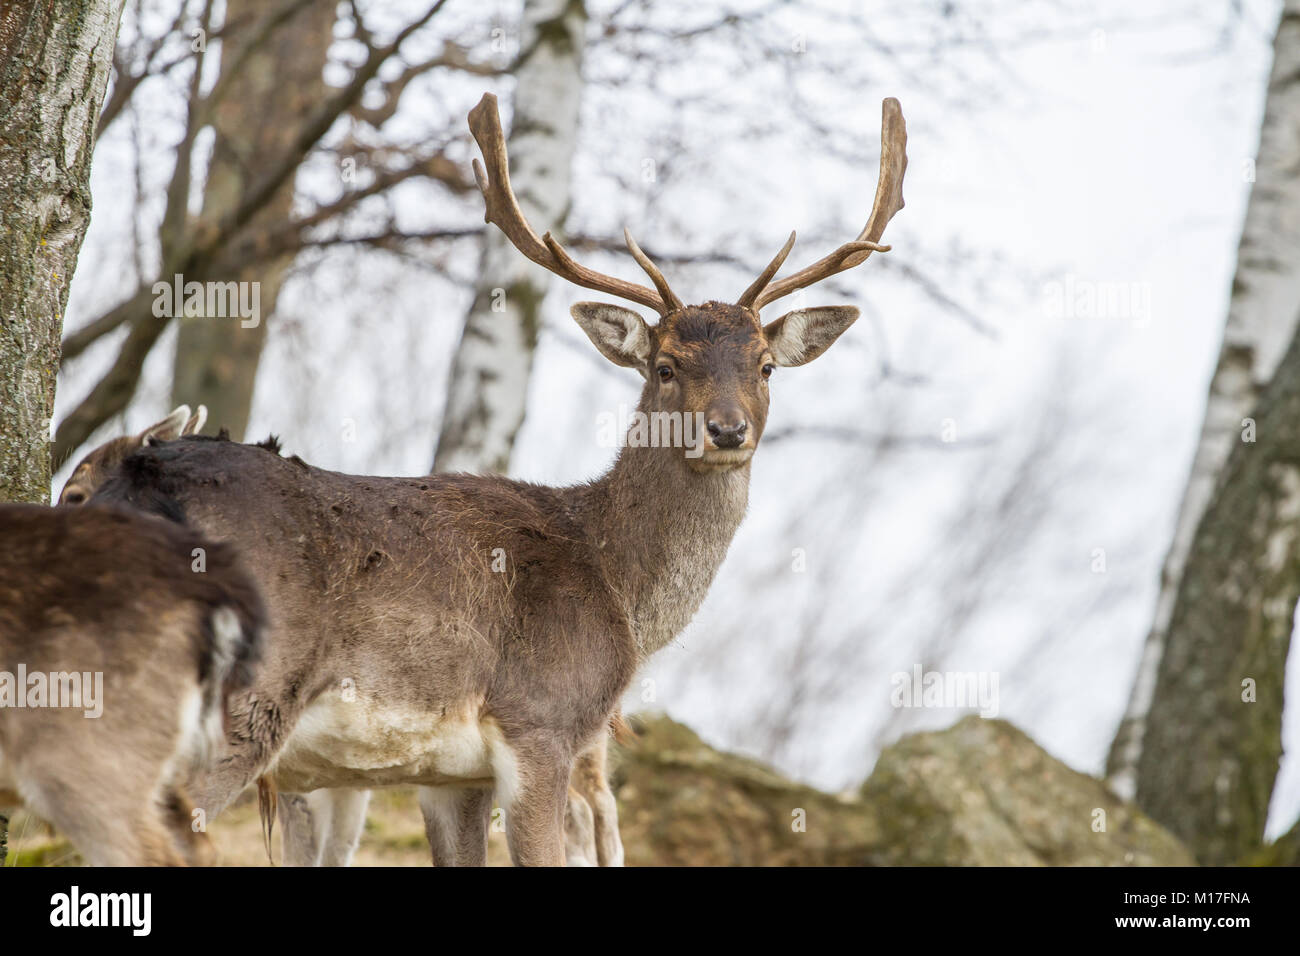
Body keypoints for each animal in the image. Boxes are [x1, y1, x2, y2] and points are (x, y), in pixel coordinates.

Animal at [78, 91, 907, 866]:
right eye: (666, 366)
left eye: (765, 366)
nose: (728, 431)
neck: (618, 585)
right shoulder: (542, 724)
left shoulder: (453, 776)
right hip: (239, 704)